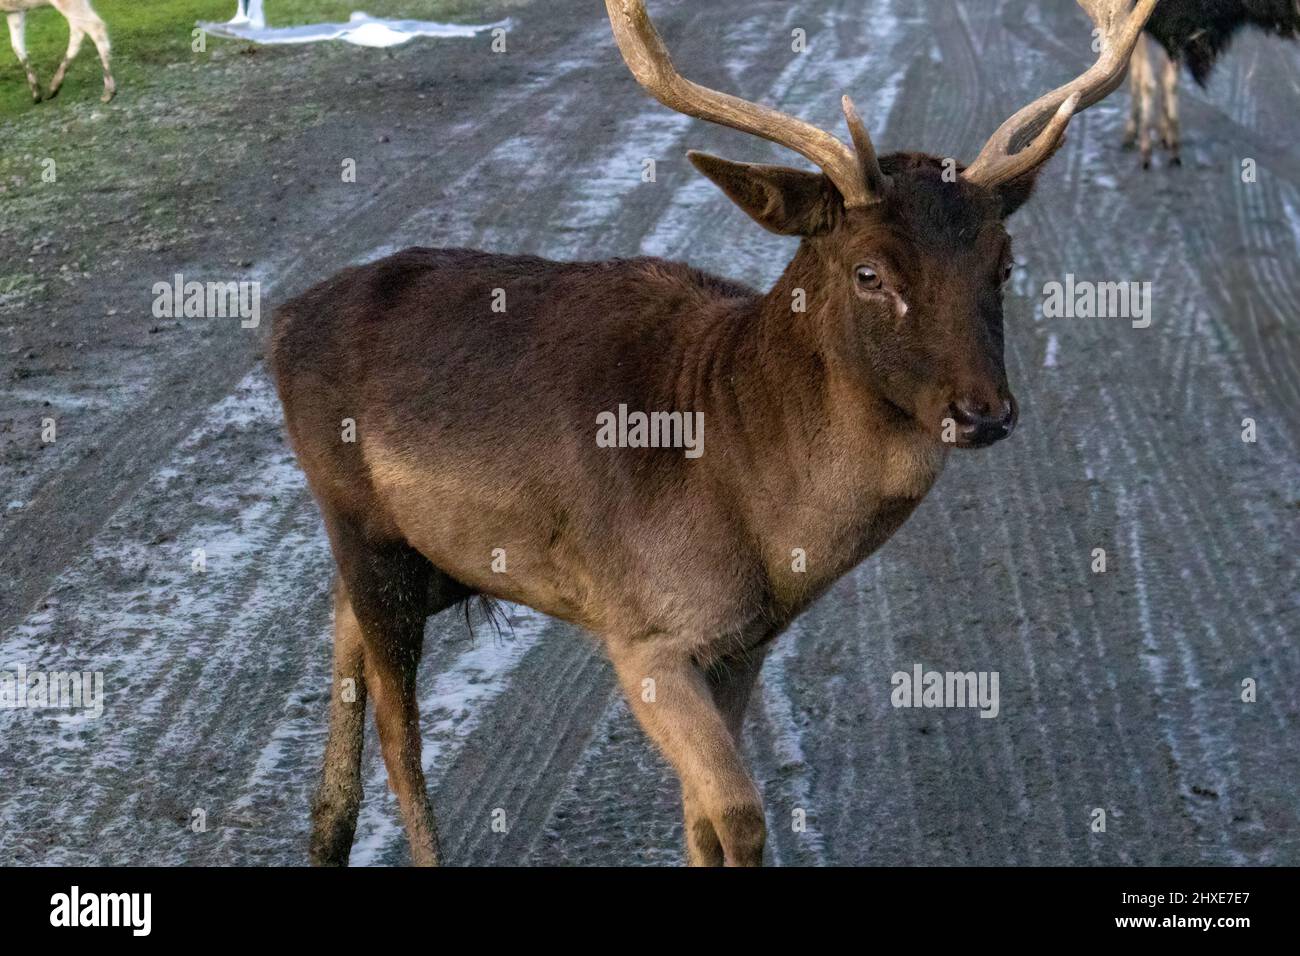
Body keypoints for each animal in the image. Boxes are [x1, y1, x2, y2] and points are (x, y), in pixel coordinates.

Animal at [270, 0, 1158, 867]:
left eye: (1003, 262)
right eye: (869, 272)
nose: (985, 412)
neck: (756, 511)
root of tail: (279, 324)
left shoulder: (742, 644)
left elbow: (700, 817)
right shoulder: (646, 633)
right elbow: (738, 815)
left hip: (441, 556)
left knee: (342, 628)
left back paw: (325, 835)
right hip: (361, 521)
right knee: (399, 729)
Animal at [1125, 0, 1300, 166]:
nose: (1295, 24)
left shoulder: (1173, 39)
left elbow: (1169, 83)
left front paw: (1173, 149)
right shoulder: (1148, 29)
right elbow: (1147, 82)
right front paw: (1146, 153)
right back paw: (1132, 135)